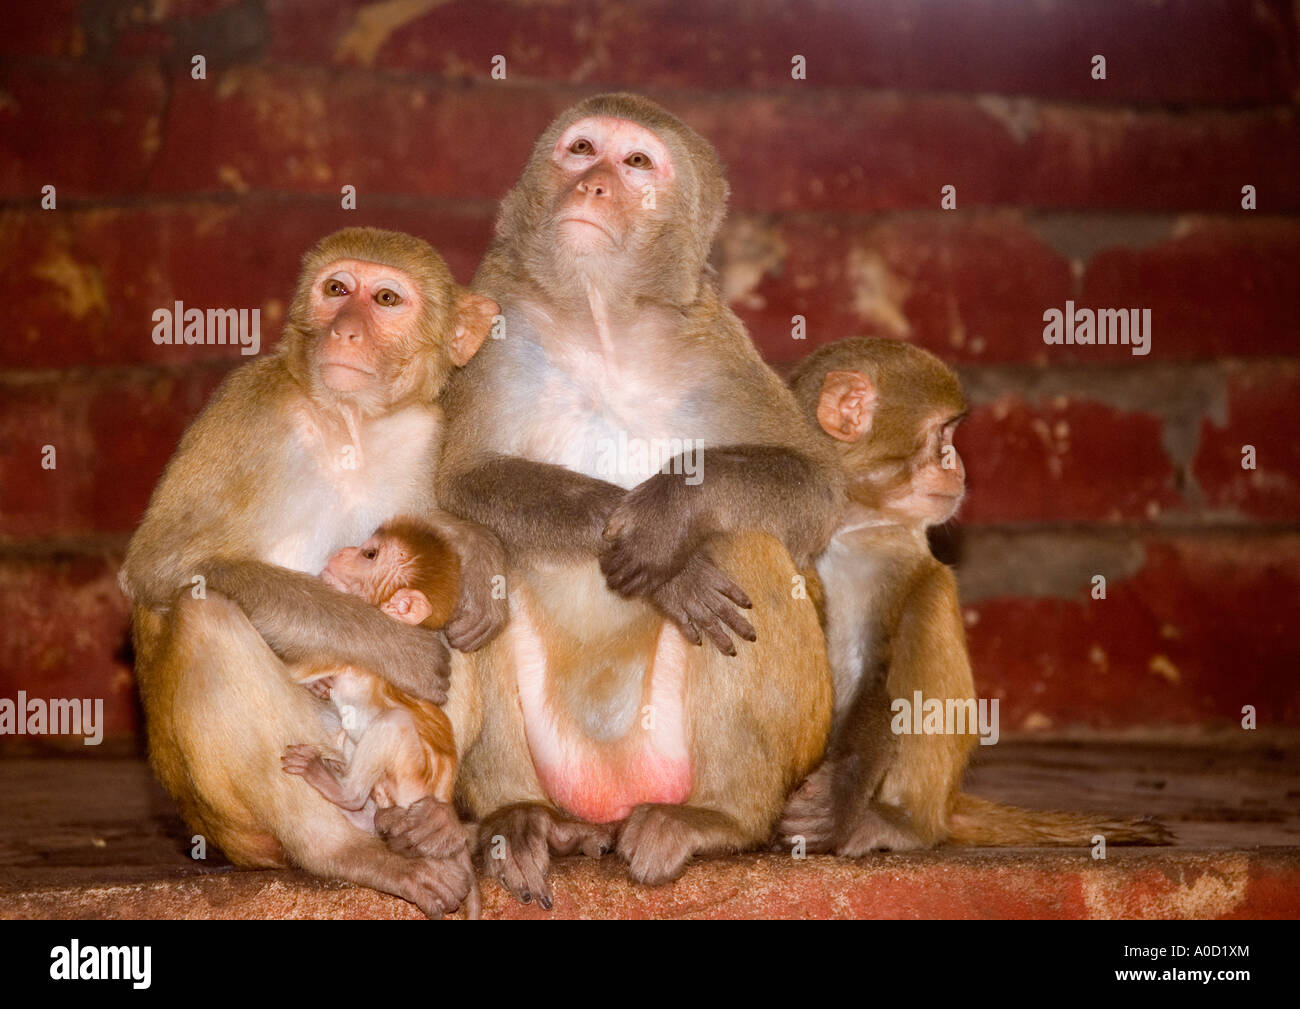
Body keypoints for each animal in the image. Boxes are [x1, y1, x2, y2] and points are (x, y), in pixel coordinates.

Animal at [282, 517, 480, 918]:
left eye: (369, 554)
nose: (343, 551)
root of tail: (433, 793)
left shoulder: (349, 651)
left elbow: (300, 669)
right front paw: (322, 687)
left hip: (412, 776)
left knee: (393, 723)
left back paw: (342, 790)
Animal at [378, 93, 839, 906]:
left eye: (636, 162)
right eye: (582, 148)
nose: (592, 185)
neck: (601, 322)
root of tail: (607, 798)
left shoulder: (712, 337)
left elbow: (812, 485)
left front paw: (666, 518)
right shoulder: (496, 315)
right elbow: (456, 484)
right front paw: (665, 566)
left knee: (743, 541)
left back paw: (719, 817)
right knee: (476, 572)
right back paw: (516, 817)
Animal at [777, 337, 1172, 853]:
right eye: (943, 434)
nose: (957, 464)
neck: (848, 522)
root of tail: (946, 807)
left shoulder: (896, 556)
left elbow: (880, 672)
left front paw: (838, 802)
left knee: (932, 595)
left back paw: (903, 825)